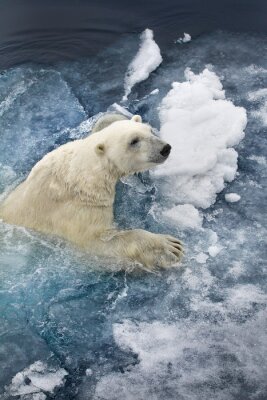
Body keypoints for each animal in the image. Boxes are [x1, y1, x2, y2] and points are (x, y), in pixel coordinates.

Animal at [0, 114, 183, 268]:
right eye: (133, 141)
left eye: (150, 130)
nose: (165, 148)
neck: (76, 174)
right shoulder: (77, 209)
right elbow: (98, 243)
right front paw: (167, 247)